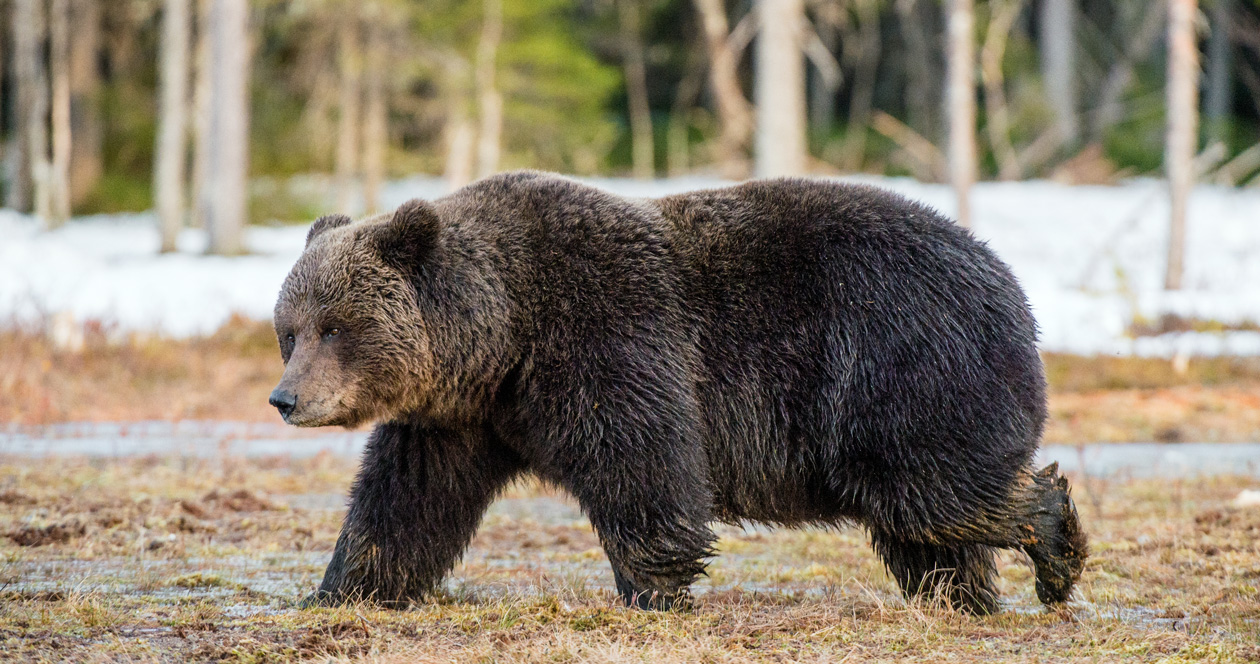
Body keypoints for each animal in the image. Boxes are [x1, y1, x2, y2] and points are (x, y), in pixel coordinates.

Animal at [270, 170, 1087, 614]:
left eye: (335, 326)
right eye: (289, 328)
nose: (286, 399)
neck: (503, 337)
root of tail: (1013, 287)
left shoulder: (604, 337)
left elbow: (643, 461)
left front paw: (653, 587)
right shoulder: (464, 417)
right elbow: (406, 500)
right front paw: (342, 588)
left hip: (901, 369)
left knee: (934, 490)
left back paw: (1054, 542)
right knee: (927, 526)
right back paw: (960, 595)